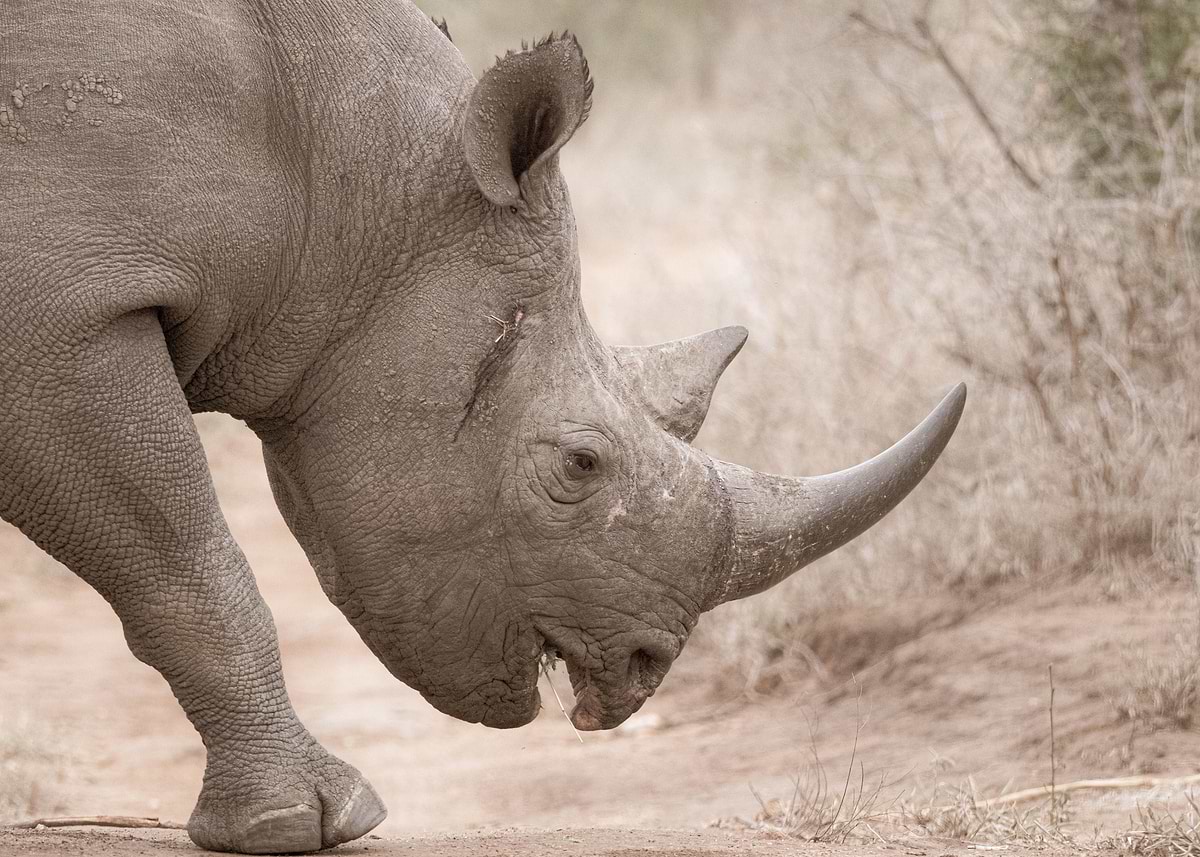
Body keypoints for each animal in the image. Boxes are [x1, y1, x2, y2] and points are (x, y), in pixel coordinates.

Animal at [0, 1, 965, 853]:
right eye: (580, 462)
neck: (338, 176)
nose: (645, 668)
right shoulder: (58, 316)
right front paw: (308, 824)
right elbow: (186, 564)